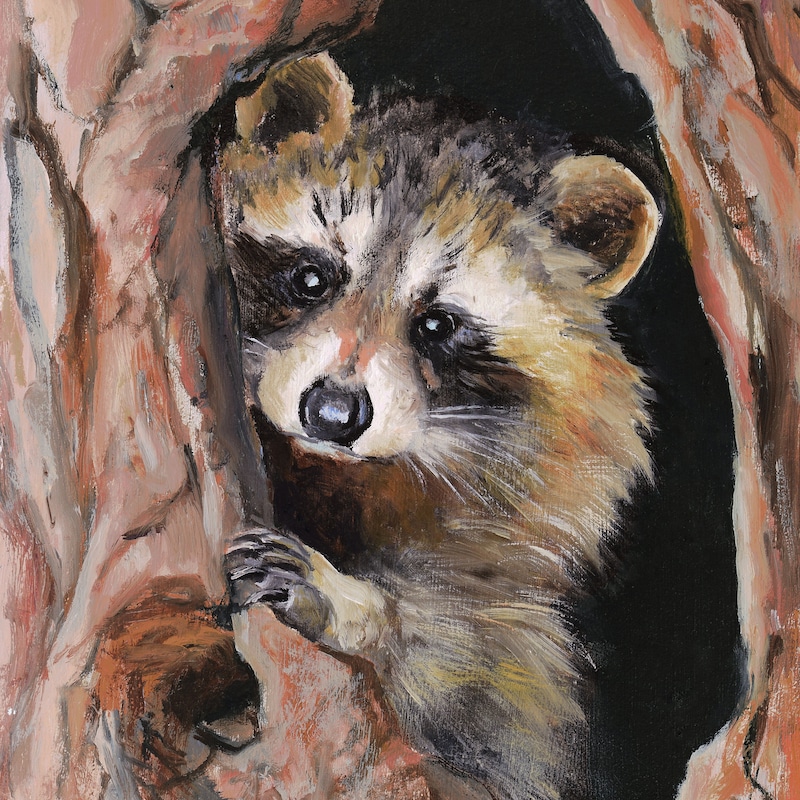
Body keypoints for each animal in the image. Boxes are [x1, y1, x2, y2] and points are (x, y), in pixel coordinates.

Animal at [219, 54, 659, 800]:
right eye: (310, 278)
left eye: (436, 324)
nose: (332, 415)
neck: (341, 478)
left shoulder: (506, 596)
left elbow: (466, 675)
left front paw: (355, 608)